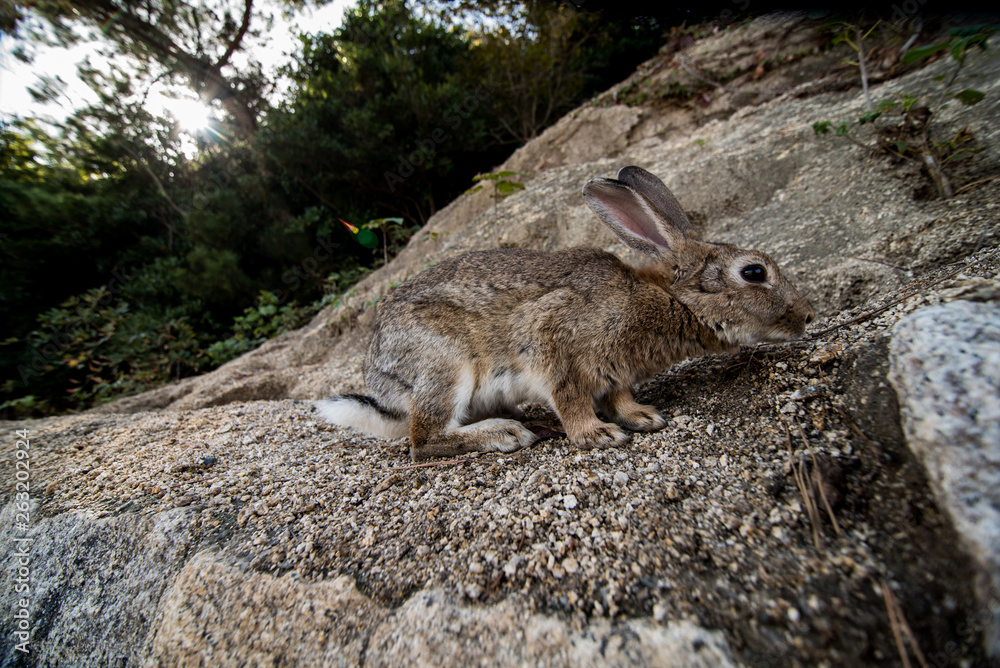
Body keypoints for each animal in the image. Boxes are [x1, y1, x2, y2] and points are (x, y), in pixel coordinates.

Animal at [317, 166, 814, 461]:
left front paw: (643, 418)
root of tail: (381, 384)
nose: (808, 315)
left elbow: (620, 396)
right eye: (753, 272)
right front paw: (598, 435)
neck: (667, 299)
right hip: (445, 364)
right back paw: (506, 433)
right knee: (423, 441)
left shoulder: (616, 372)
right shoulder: (555, 341)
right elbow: (570, 396)